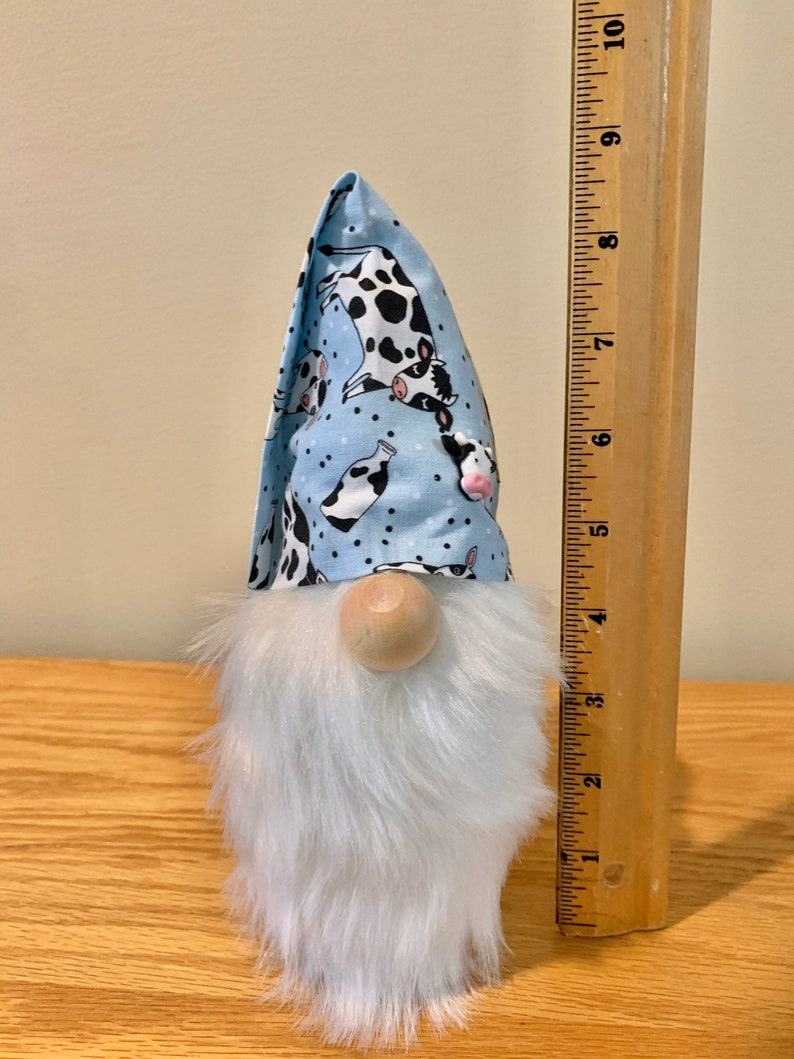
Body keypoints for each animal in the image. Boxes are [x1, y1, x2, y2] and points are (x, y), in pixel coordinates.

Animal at [316, 245, 458, 429]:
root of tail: (384, 251)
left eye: (425, 402)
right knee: (340, 276)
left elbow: (357, 388)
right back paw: (320, 289)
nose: (400, 387)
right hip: (356, 284)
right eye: (418, 370)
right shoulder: (371, 362)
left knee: (339, 281)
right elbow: (356, 377)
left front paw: (345, 395)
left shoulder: (376, 380)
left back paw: (323, 300)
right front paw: (345, 389)